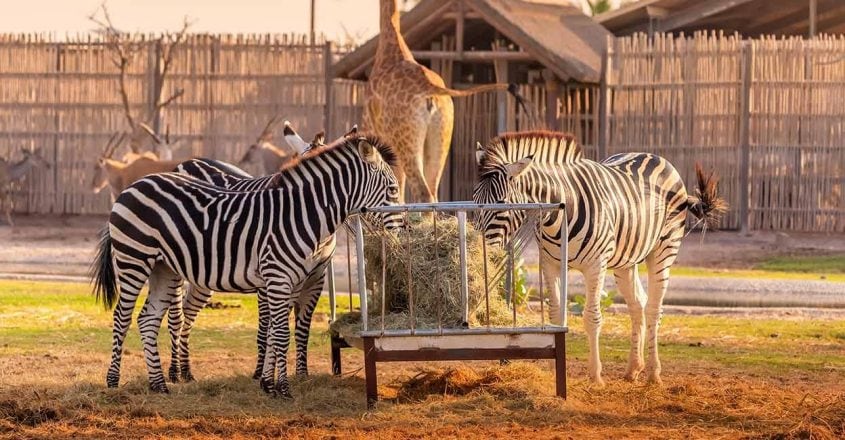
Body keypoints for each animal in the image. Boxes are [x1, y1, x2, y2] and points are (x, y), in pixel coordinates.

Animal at [91, 134, 402, 398]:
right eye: (393, 189)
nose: (404, 228)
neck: (302, 216)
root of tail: (134, 184)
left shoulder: (296, 280)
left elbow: (278, 332)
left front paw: (269, 384)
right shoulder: (277, 277)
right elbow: (280, 334)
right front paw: (283, 389)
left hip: (163, 268)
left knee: (148, 319)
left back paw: (159, 385)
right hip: (134, 259)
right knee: (122, 317)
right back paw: (114, 381)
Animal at [364, 0, 517, 203]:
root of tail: (432, 91)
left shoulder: (372, 128)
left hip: (405, 140)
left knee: (422, 191)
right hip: (442, 135)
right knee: (433, 191)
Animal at [473, 131, 726, 386]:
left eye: (500, 204)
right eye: (474, 199)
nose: (477, 246)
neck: (560, 212)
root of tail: (653, 156)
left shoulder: (596, 265)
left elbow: (592, 317)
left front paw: (595, 376)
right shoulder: (550, 264)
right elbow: (555, 316)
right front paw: (554, 371)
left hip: (664, 249)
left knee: (654, 308)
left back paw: (654, 373)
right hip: (626, 261)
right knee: (638, 305)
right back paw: (633, 368)